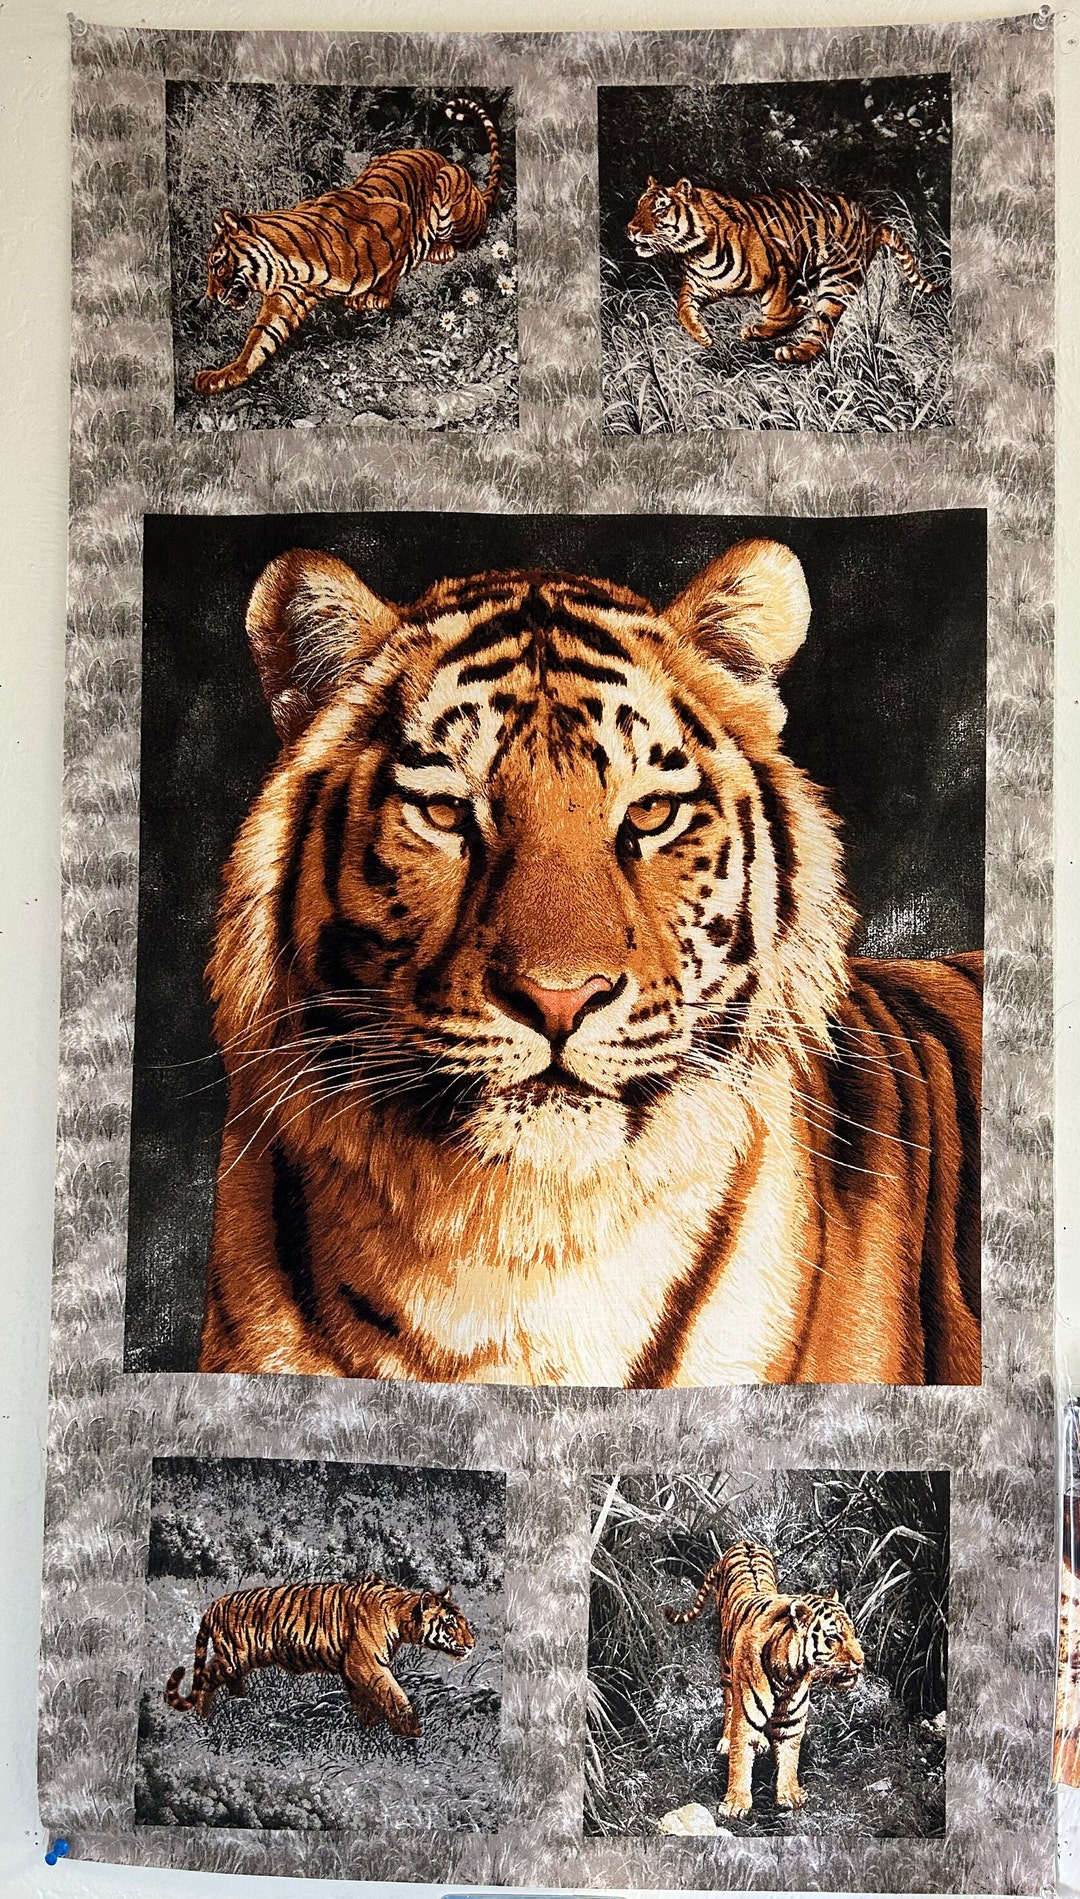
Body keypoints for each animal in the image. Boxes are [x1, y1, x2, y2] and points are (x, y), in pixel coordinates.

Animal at [164, 1578, 474, 1734]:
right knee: (205, 1679)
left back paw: (242, 1705)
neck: (401, 1617)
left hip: (236, 1661)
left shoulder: (354, 1669)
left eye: (464, 1621)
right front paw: (412, 1733)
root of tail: (214, 1605)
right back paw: (206, 1719)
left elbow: (366, 1703)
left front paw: (369, 1733)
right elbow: (395, 1695)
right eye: (450, 1624)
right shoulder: (366, 1664)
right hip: (233, 1657)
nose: (472, 1644)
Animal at [192, 96, 502, 394]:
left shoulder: (398, 213)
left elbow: (395, 261)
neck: (290, 266)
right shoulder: (287, 297)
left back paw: (441, 249)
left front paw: (373, 297)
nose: (210, 296)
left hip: (449, 181)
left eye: (216, 263)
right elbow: (259, 338)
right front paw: (223, 376)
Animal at [626, 179, 943, 362]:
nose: (630, 229)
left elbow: (783, 311)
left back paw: (793, 351)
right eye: (639, 205)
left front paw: (754, 331)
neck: (697, 252)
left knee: (820, 325)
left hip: (837, 278)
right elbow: (682, 307)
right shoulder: (699, 285)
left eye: (659, 209)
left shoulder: (780, 272)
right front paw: (703, 335)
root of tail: (871, 221)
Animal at [665, 1538, 864, 1816]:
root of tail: (744, 1542)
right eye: (834, 1637)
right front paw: (735, 1804)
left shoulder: (792, 1720)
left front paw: (790, 1795)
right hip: (727, 1670)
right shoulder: (746, 1715)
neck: (790, 1674)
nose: (861, 1661)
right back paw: (727, 1741)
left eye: (853, 1633)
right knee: (729, 1704)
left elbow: (790, 1758)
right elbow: (740, 1759)